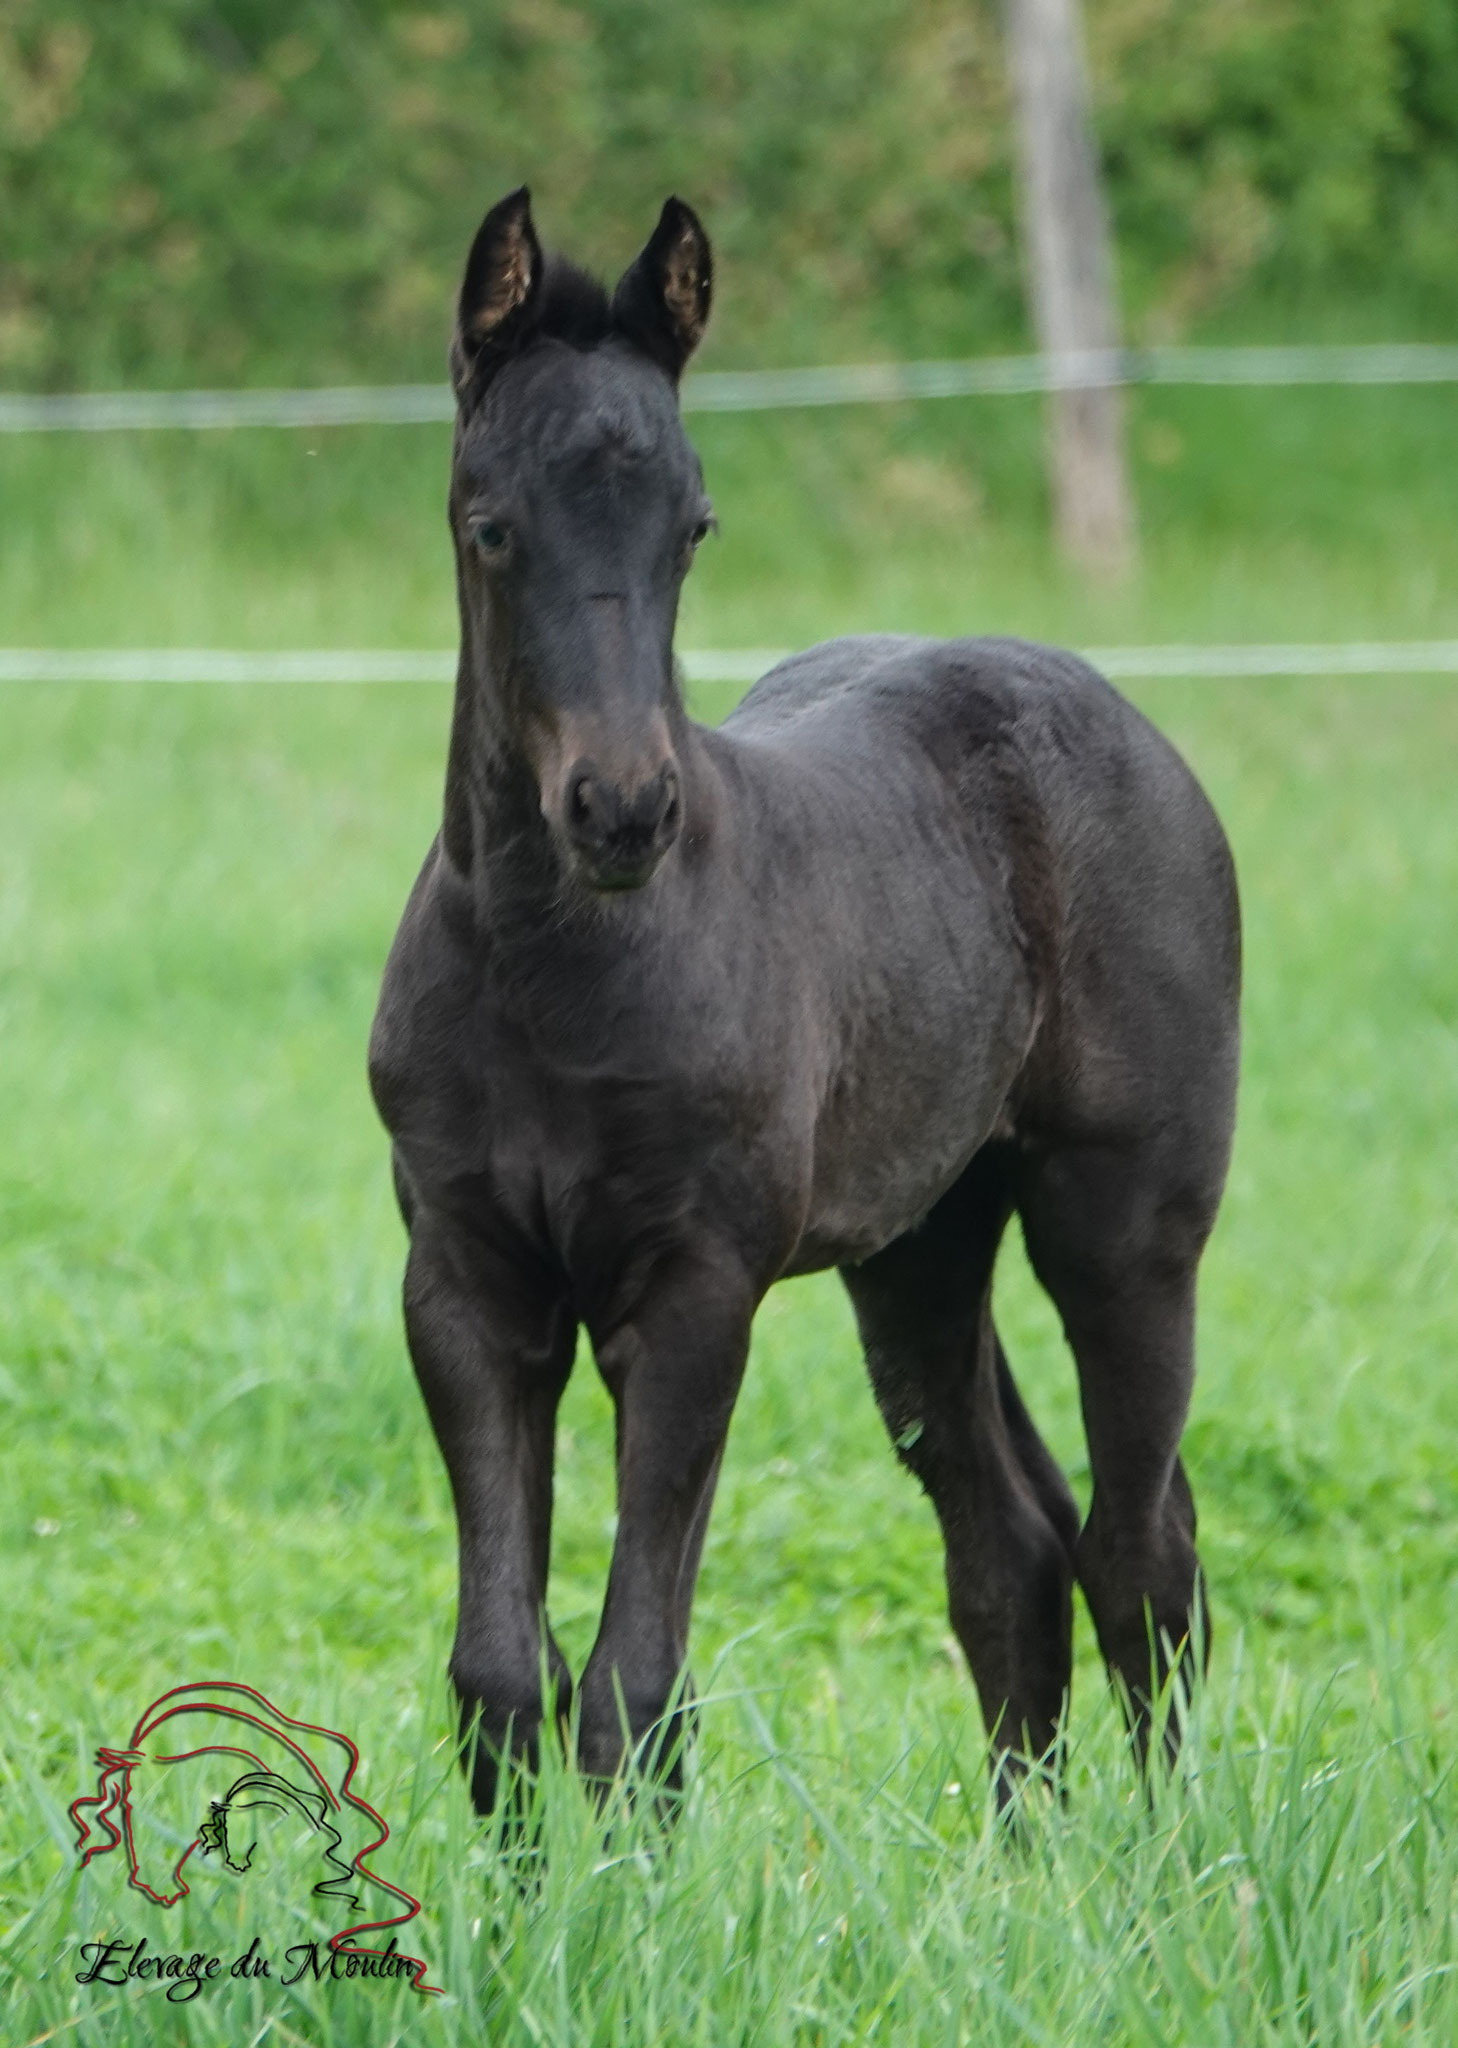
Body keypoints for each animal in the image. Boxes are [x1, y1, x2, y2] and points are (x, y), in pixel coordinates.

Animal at [368, 188, 1241, 1814]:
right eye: (489, 525)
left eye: (694, 526)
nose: (622, 810)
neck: (548, 969)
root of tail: (1119, 715)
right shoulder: (465, 1283)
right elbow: (501, 1680)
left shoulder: (693, 1288)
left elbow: (632, 1686)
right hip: (920, 1243)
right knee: (1008, 1546)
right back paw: (1025, 1862)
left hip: (1124, 1224)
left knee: (1139, 1552)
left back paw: (1169, 1859)